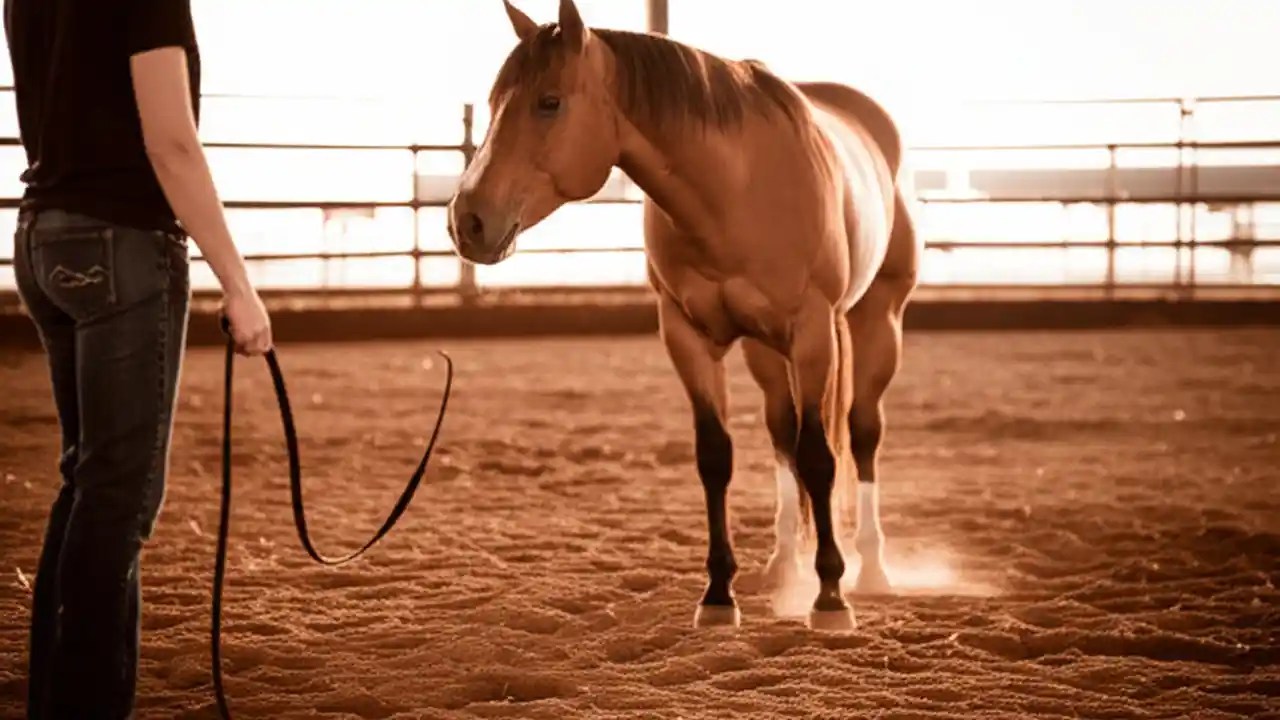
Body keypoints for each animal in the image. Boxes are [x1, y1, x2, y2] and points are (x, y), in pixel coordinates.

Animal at [446, 0, 921, 631]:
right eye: (496, 102)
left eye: (549, 102)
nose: (466, 221)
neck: (734, 191)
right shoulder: (687, 337)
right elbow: (717, 458)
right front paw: (719, 594)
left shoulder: (812, 333)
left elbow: (820, 458)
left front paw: (830, 598)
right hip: (765, 350)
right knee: (782, 433)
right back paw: (785, 564)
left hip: (877, 322)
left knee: (862, 433)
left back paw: (869, 569)